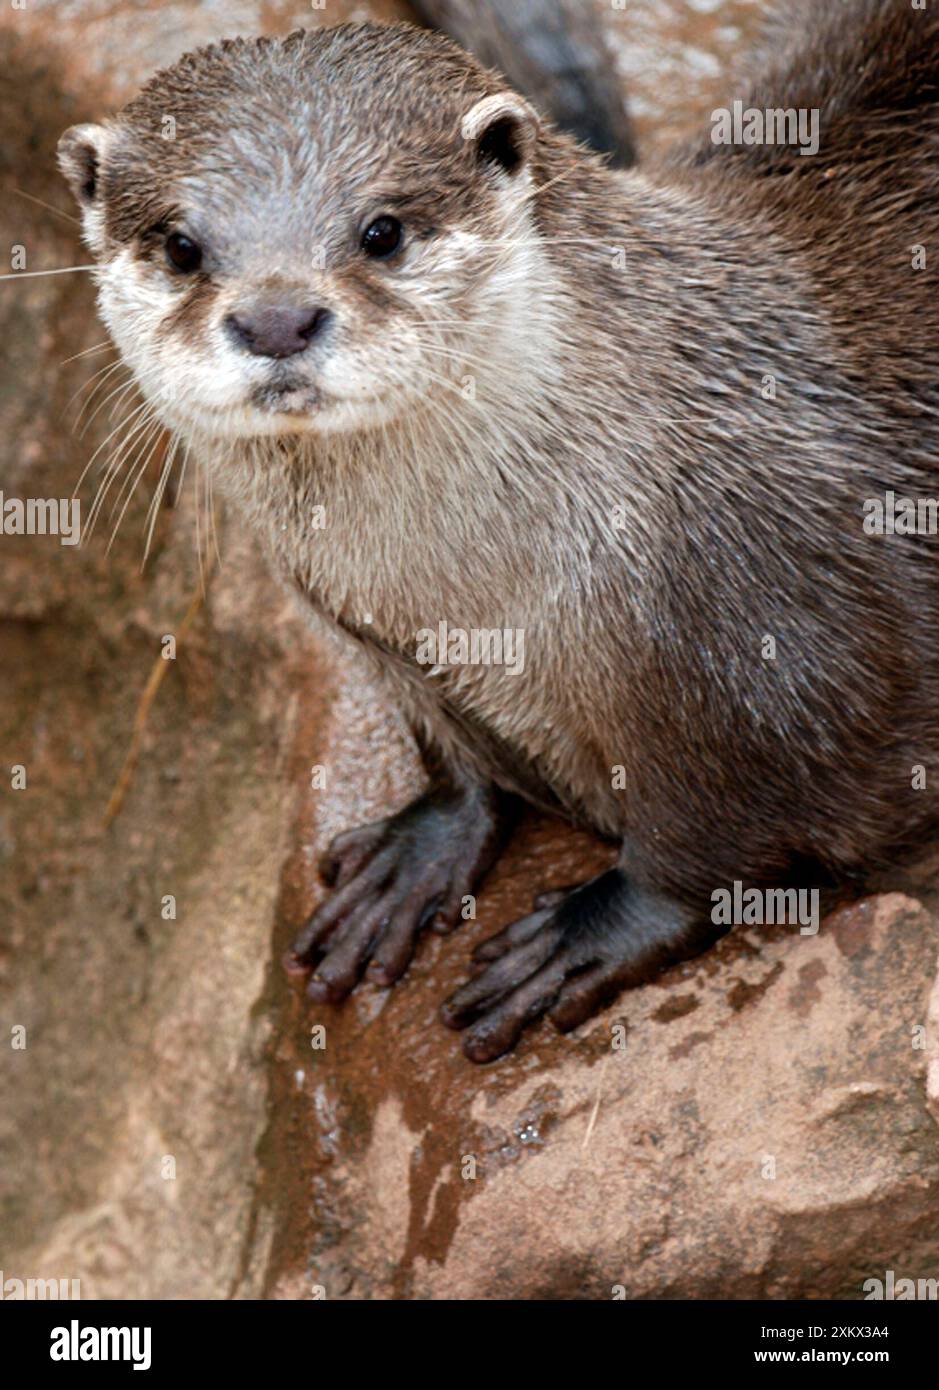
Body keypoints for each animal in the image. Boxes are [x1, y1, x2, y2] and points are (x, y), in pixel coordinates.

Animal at [57, 1, 939, 1062]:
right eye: (182, 246)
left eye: (382, 230)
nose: (276, 318)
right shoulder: (385, 640)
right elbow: (455, 752)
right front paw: (421, 850)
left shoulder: (784, 644)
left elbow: (729, 824)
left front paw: (595, 927)